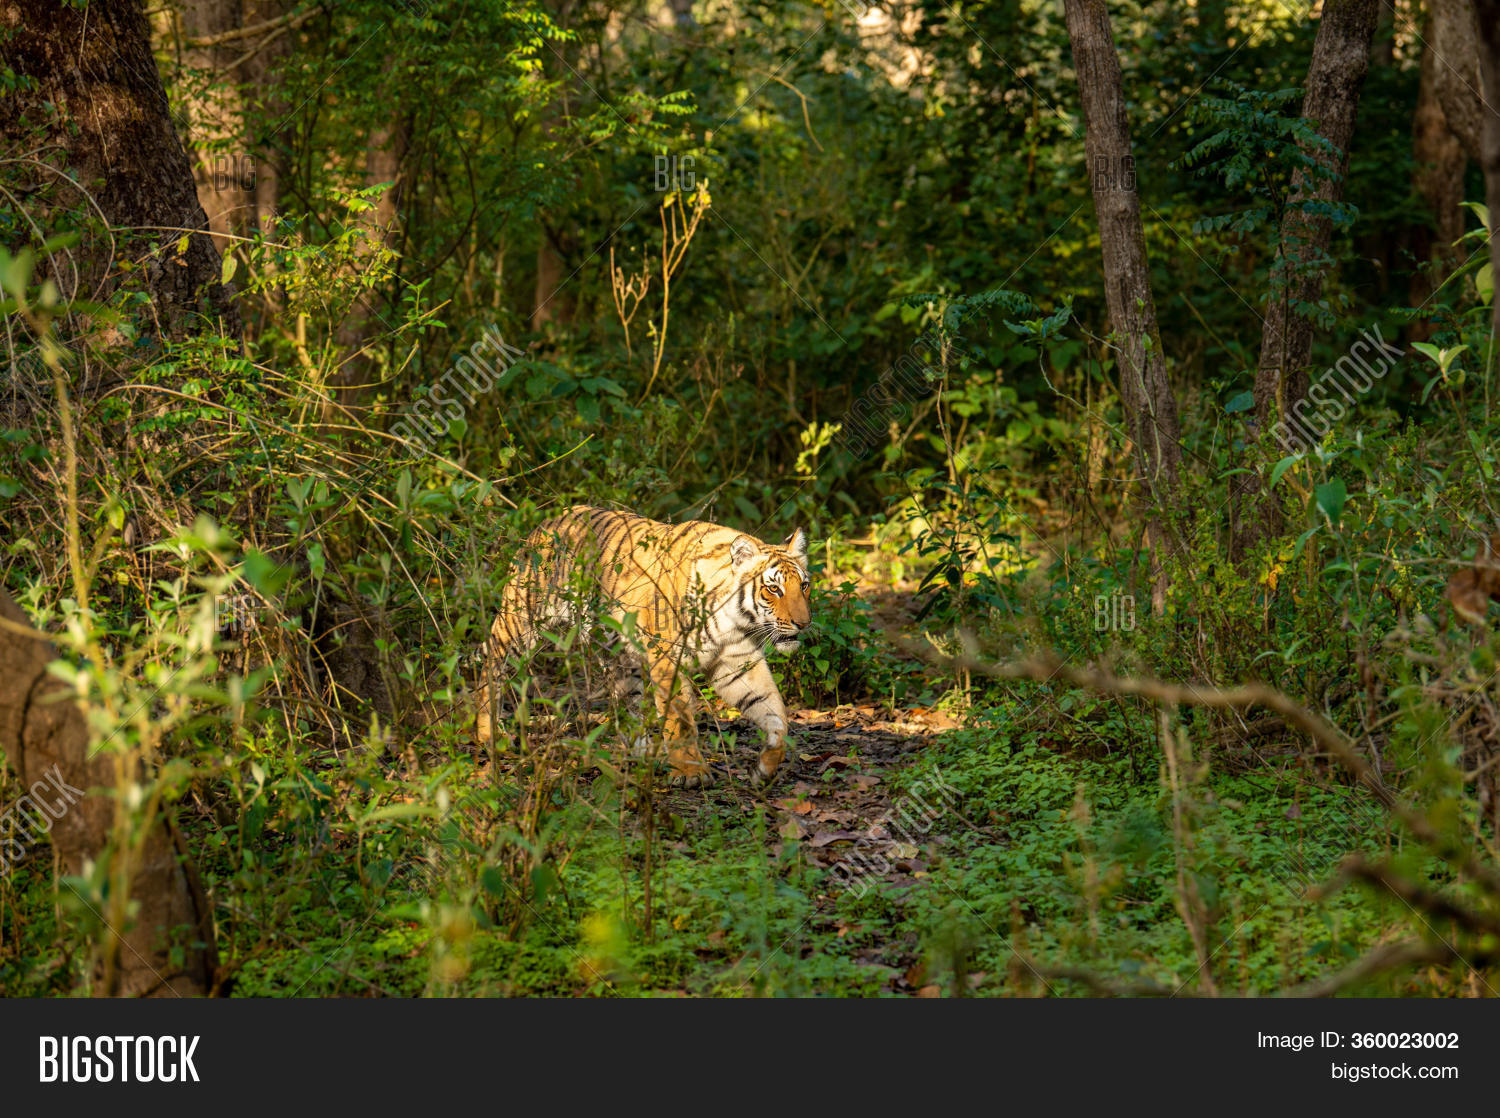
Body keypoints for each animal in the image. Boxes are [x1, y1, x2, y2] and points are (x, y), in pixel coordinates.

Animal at [473, 505, 812, 787]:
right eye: (773, 589)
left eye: (804, 585)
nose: (804, 623)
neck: (737, 620)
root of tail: (544, 523)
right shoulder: (668, 658)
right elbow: (680, 719)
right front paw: (691, 773)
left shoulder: (737, 663)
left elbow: (776, 715)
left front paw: (764, 770)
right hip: (520, 624)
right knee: (491, 666)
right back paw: (489, 734)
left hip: (619, 657)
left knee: (627, 707)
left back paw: (645, 752)